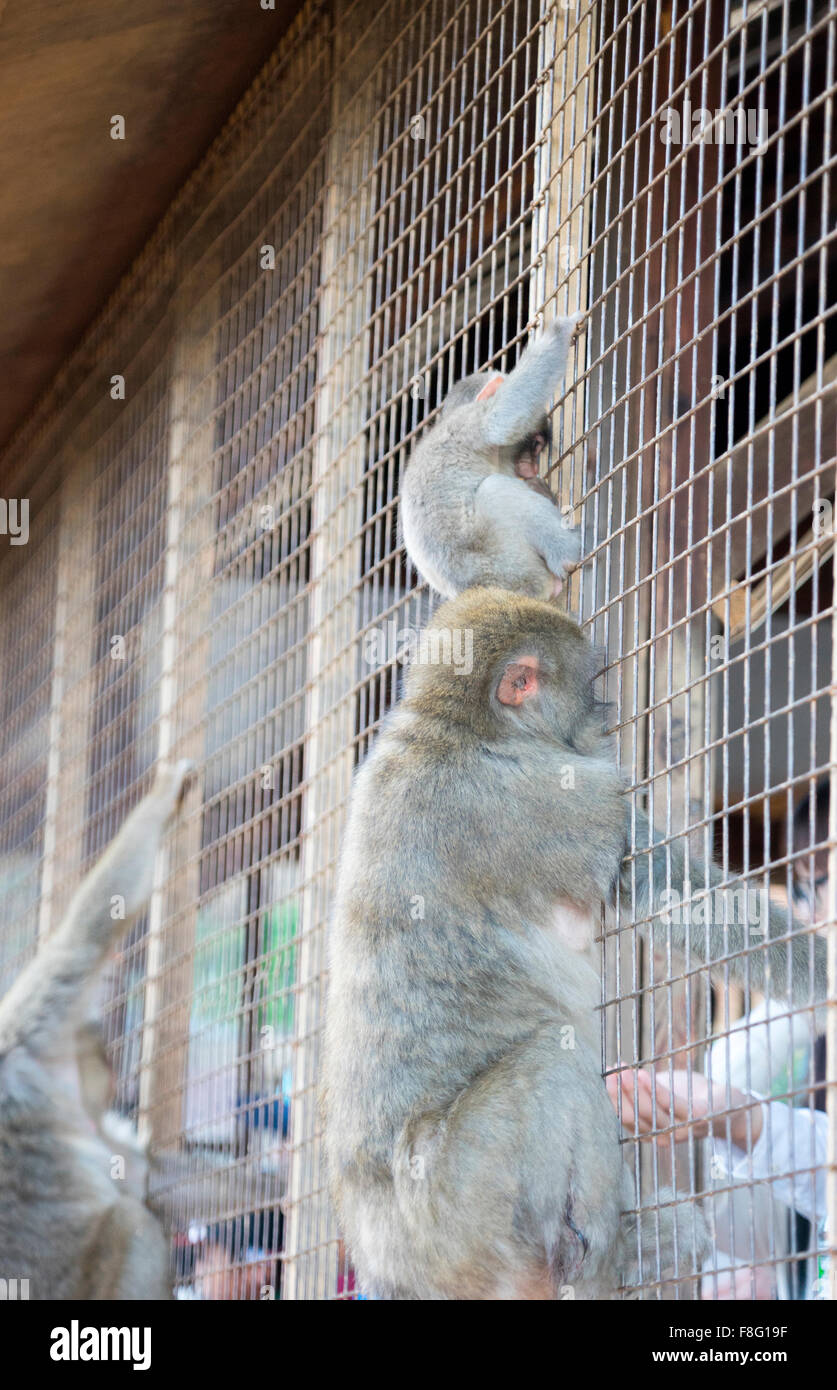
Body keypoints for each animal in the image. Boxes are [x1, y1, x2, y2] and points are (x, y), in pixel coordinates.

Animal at [321, 588, 827, 1300]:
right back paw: (609, 1261)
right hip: (457, 1208)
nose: (602, 708)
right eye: (588, 682)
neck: (455, 727)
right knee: (553, 1066)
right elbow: (667, 887)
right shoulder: (561, 799)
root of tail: (386, 1266)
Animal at [401, 315, 584, 600]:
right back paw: (567, 551)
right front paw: (559, 332)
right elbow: (503, 419)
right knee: (494, 489)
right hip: (509, 562)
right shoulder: (470, 424)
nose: (531, 468)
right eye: (535, 444)